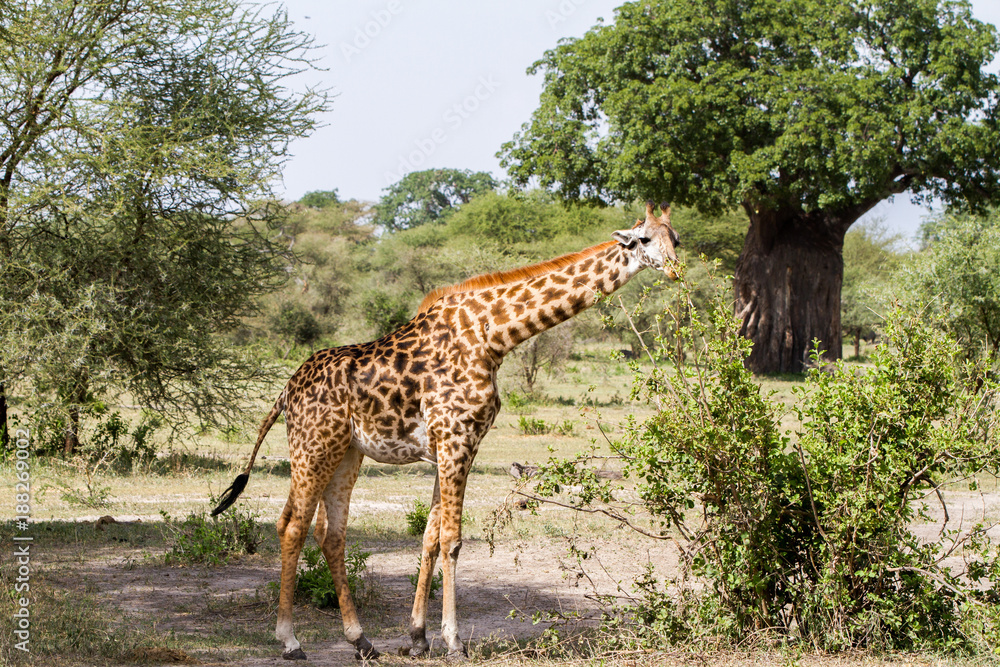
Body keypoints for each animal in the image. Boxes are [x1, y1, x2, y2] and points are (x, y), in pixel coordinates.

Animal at [211, 202, 680, 660]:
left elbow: (430, 537)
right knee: (292, 525)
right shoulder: (458, 439)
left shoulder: (450, 446)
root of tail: (286, 391)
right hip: (314, 447)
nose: (676, 269)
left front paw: (417, 638)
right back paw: (290, 640)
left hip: (346, 452)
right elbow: (453, 539)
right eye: (643, 239)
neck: (494, 336)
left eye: (675, 237)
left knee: (331, 535)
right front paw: (454, 642)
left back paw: (361, 641)